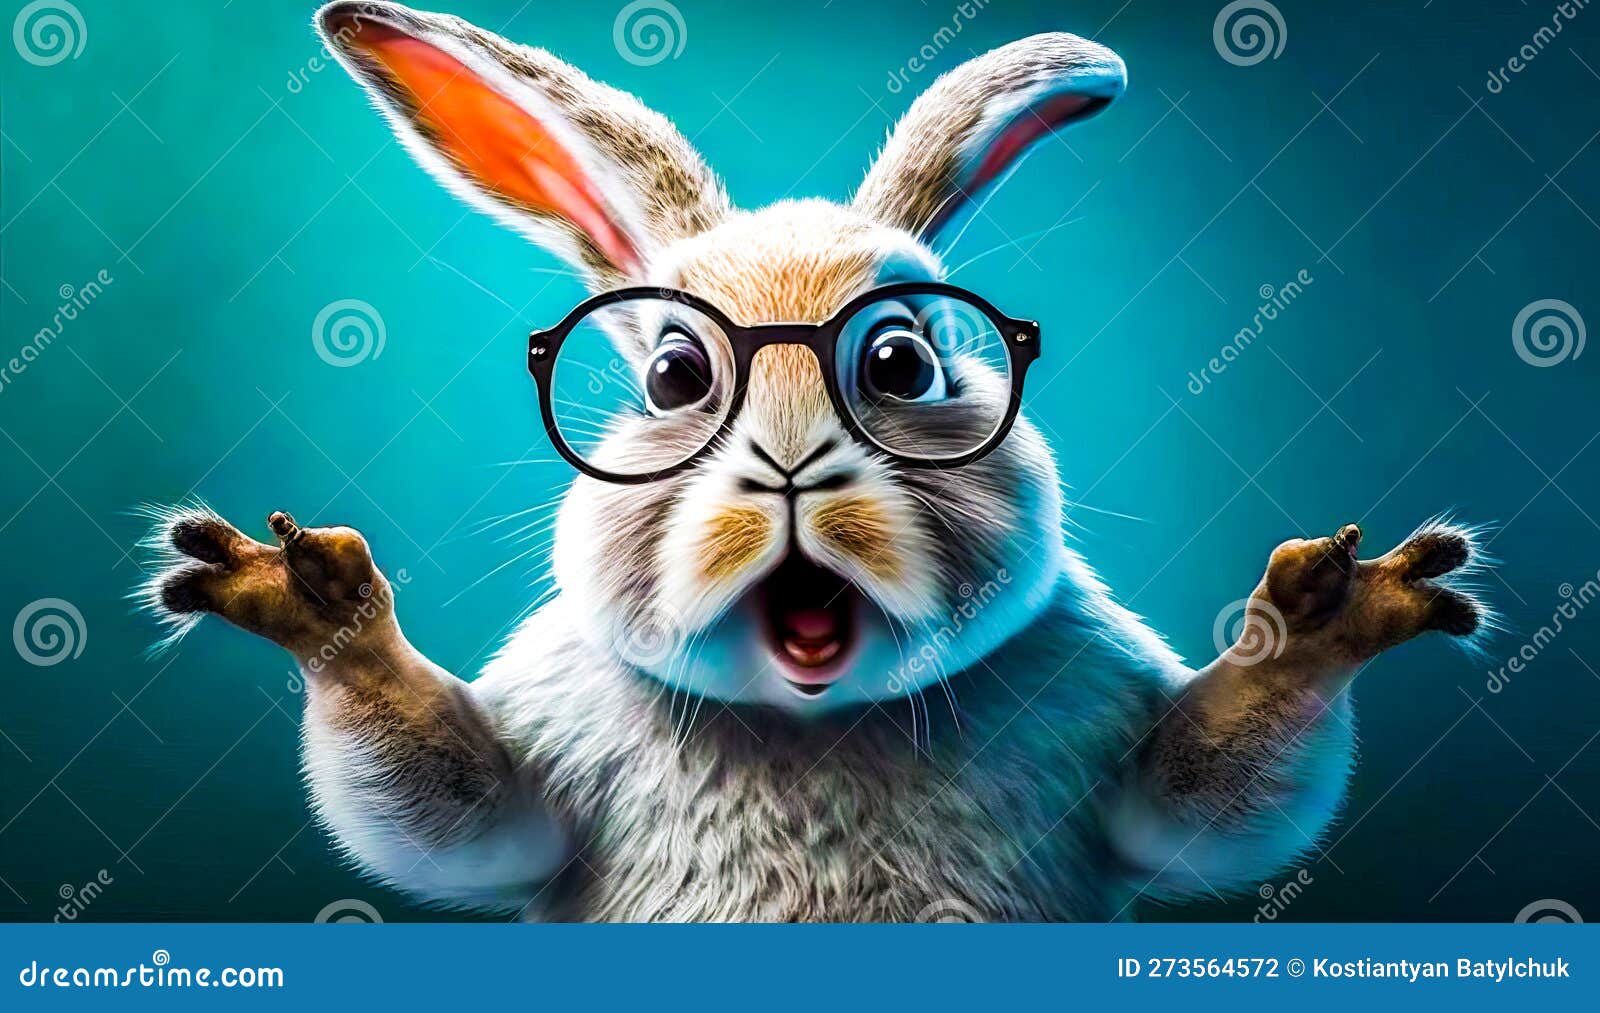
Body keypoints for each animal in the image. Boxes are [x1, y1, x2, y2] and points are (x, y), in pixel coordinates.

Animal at [140, 1, 1493, 921]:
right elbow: (449, 809)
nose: (791, 469)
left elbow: (1210, 797)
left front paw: (1334, 610)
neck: (814, 725)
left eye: (902, 362)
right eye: (672, 376)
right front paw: (306, 595)